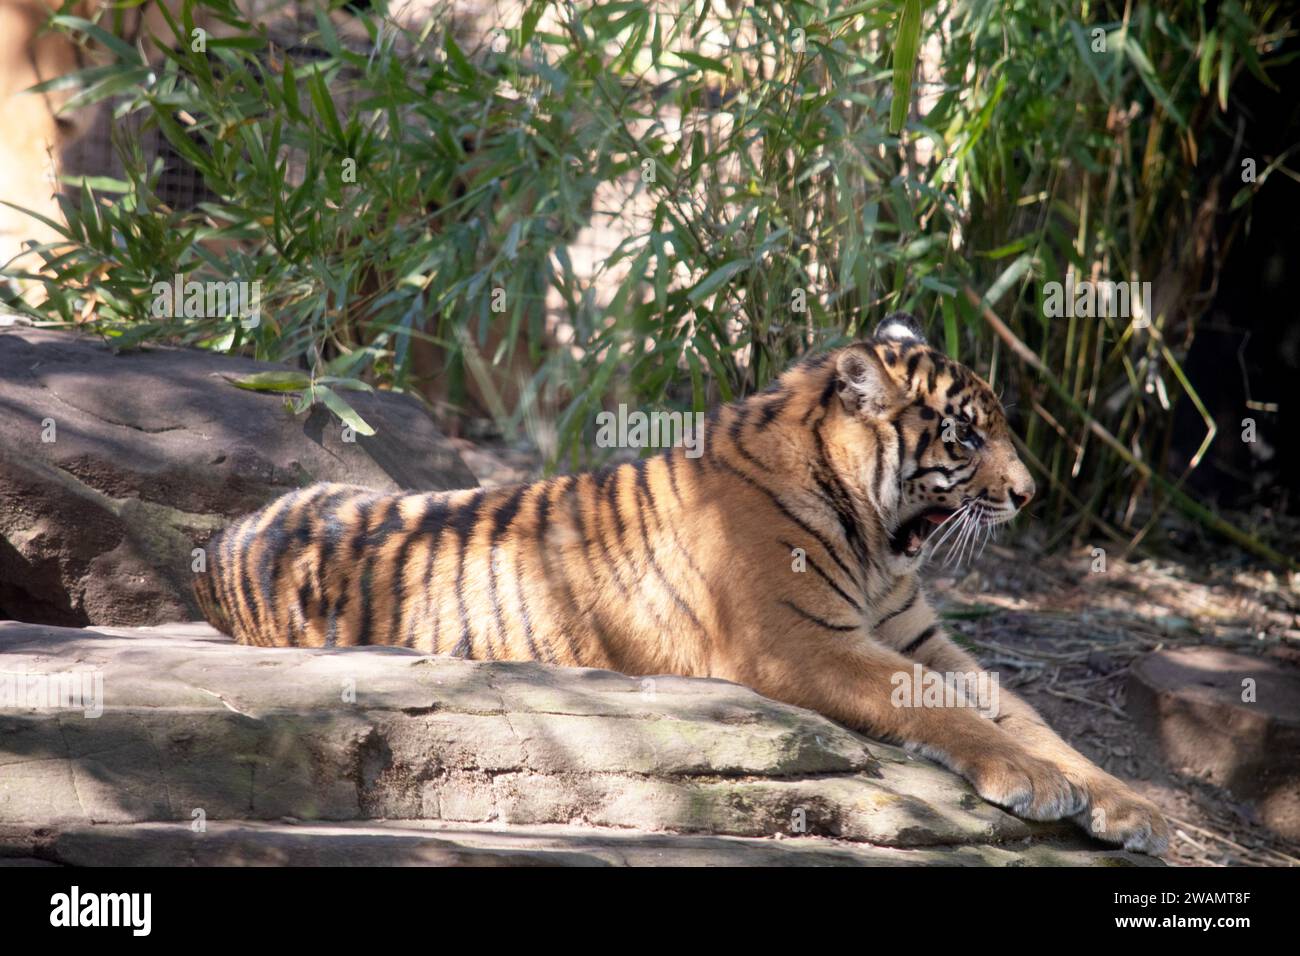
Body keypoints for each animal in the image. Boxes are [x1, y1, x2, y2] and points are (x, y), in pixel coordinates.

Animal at [193, 312, 1170, 854]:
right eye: (967, 438)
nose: (1029, 494)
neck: (869, 528)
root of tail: (226, 537)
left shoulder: (920, 638)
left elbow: (1030, 715)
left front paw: (1132, 808)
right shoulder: (803, 644)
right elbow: (944, 710)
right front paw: (1034, 780)